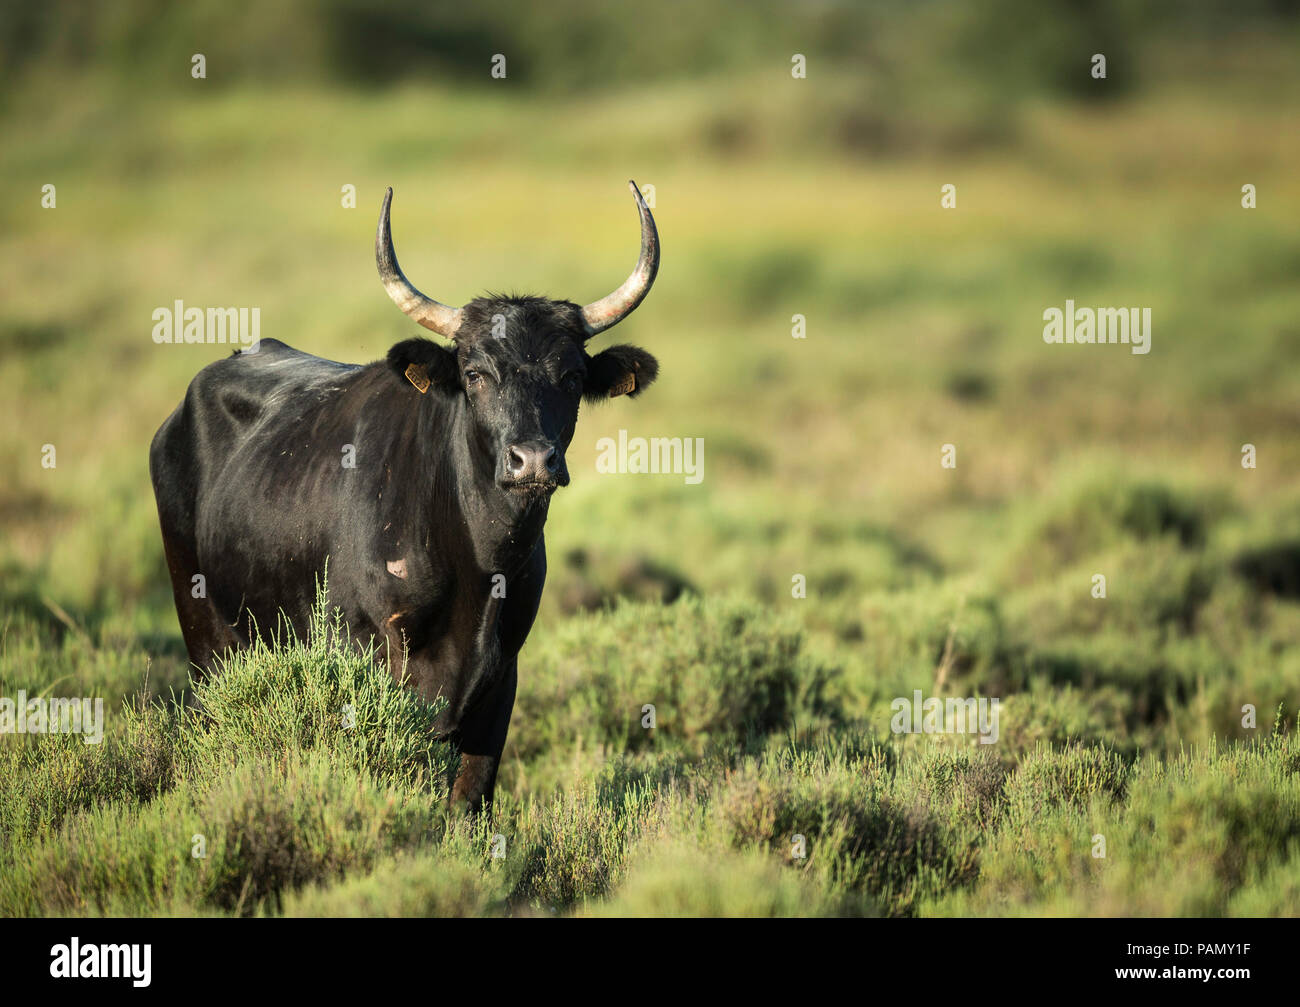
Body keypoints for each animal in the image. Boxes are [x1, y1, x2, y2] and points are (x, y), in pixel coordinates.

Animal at [149, 181, 660, 809]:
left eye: (571, 376)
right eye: (475, 373)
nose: (533, 460)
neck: (477, 563)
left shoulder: (501, 682)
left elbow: (470, 798)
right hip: (202, 633)